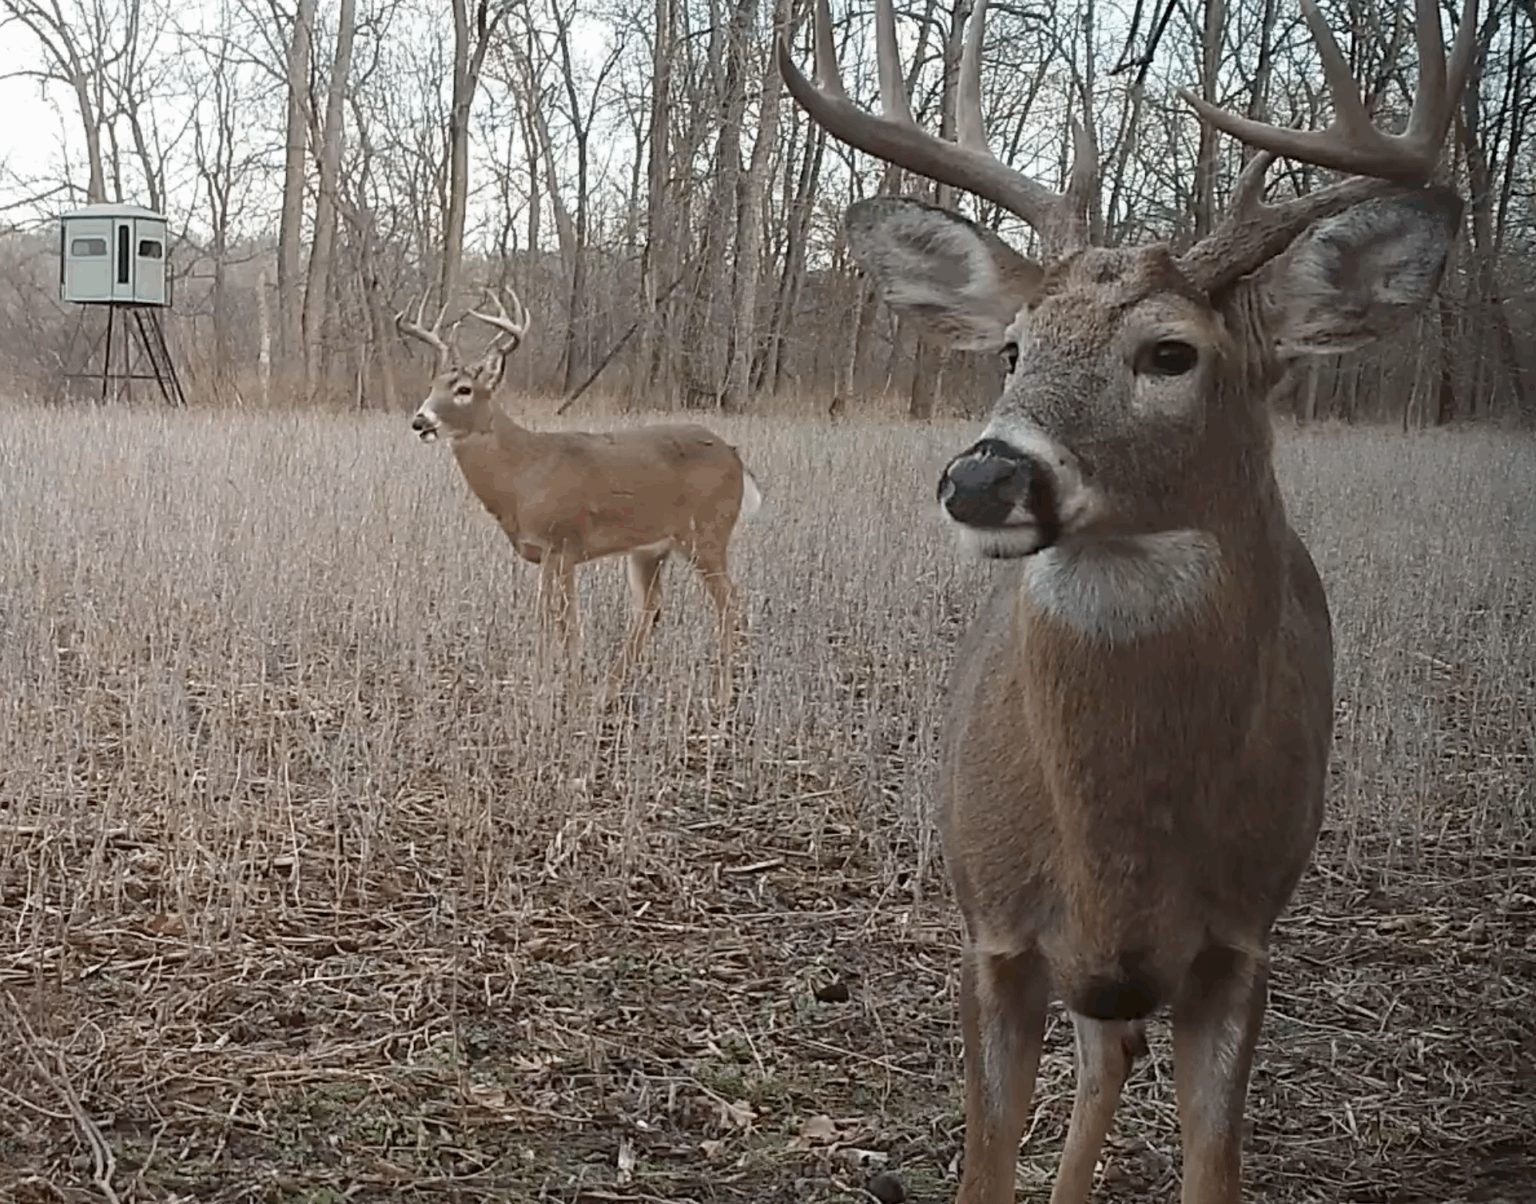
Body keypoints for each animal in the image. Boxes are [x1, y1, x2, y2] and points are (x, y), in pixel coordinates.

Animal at [397, 289, 763, 709]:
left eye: (464, 389)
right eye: (433, 385)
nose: (420, 421)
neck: (523, 472)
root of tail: (736, 457)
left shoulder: (564, 542)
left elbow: (567, 623)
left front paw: (567, 689)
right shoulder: (544, 553)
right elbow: (544, 620)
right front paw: (545, 686)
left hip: (707, 532)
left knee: (730, 603)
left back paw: (723, 695)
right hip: (651, 548)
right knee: (651, 605)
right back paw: (610, 688)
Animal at [780, 0, 1474, 1199]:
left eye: (1171, 353)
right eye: (1012, 347)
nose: (984, 477)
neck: (1118, 849)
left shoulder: (1240, 942)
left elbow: (1211, 1166)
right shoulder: (992, 933)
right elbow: (984, 1166)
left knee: (1113, 1050)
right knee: (1104, 1050)